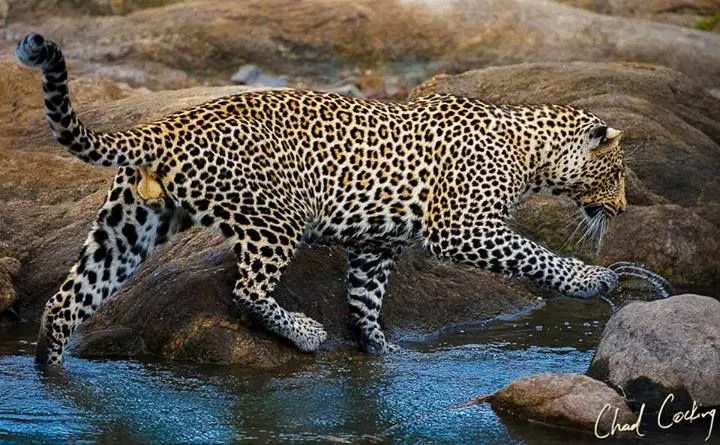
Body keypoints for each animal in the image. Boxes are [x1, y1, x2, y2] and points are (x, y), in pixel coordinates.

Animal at [16, 33, 625, 366]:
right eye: (617, 172)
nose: (619, 210)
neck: (530, 149)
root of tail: (166, 127)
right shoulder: (462, 227)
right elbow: (535, 257)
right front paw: (593, 280)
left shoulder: (377, 244)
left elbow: (365, 298)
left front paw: (378, 348)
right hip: (276, 217)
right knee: (246, 291)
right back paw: (304, 333)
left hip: (130, 221)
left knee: (68, 300)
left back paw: (49, 369)